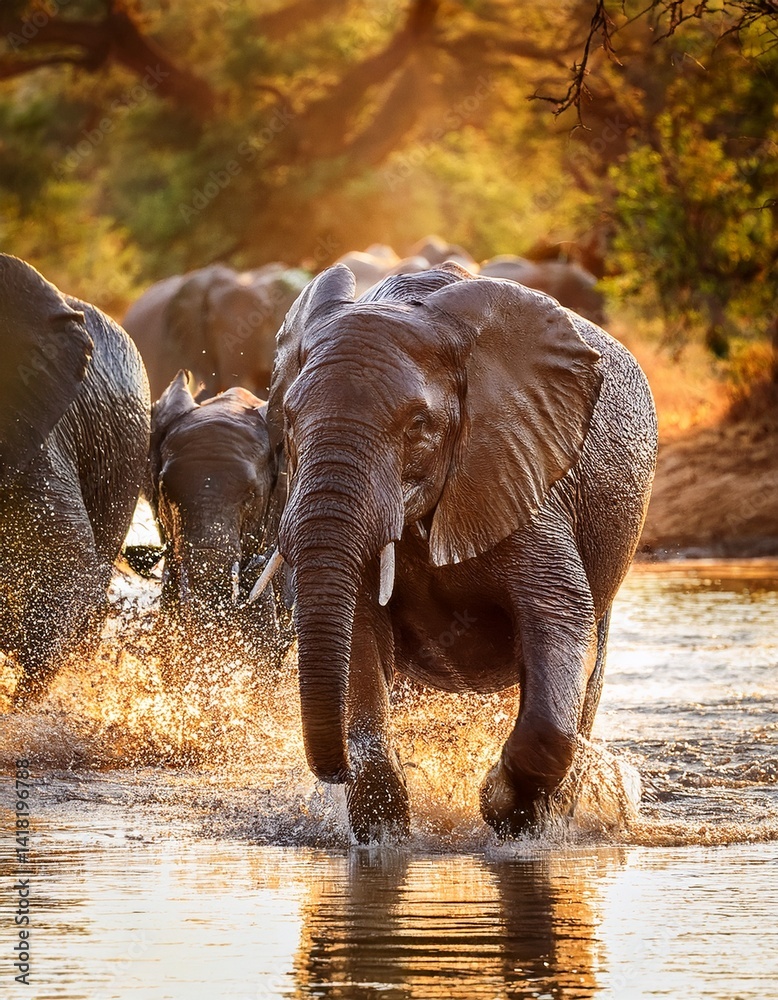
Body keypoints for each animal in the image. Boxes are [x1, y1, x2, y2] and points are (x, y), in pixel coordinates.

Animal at [259, 262, 657, 843]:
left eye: (418, 426)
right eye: (288, 419)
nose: (335, 771)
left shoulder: (523, 470)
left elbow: (559, 616)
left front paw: (498, 805)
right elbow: (359, 632)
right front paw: (383, 832)